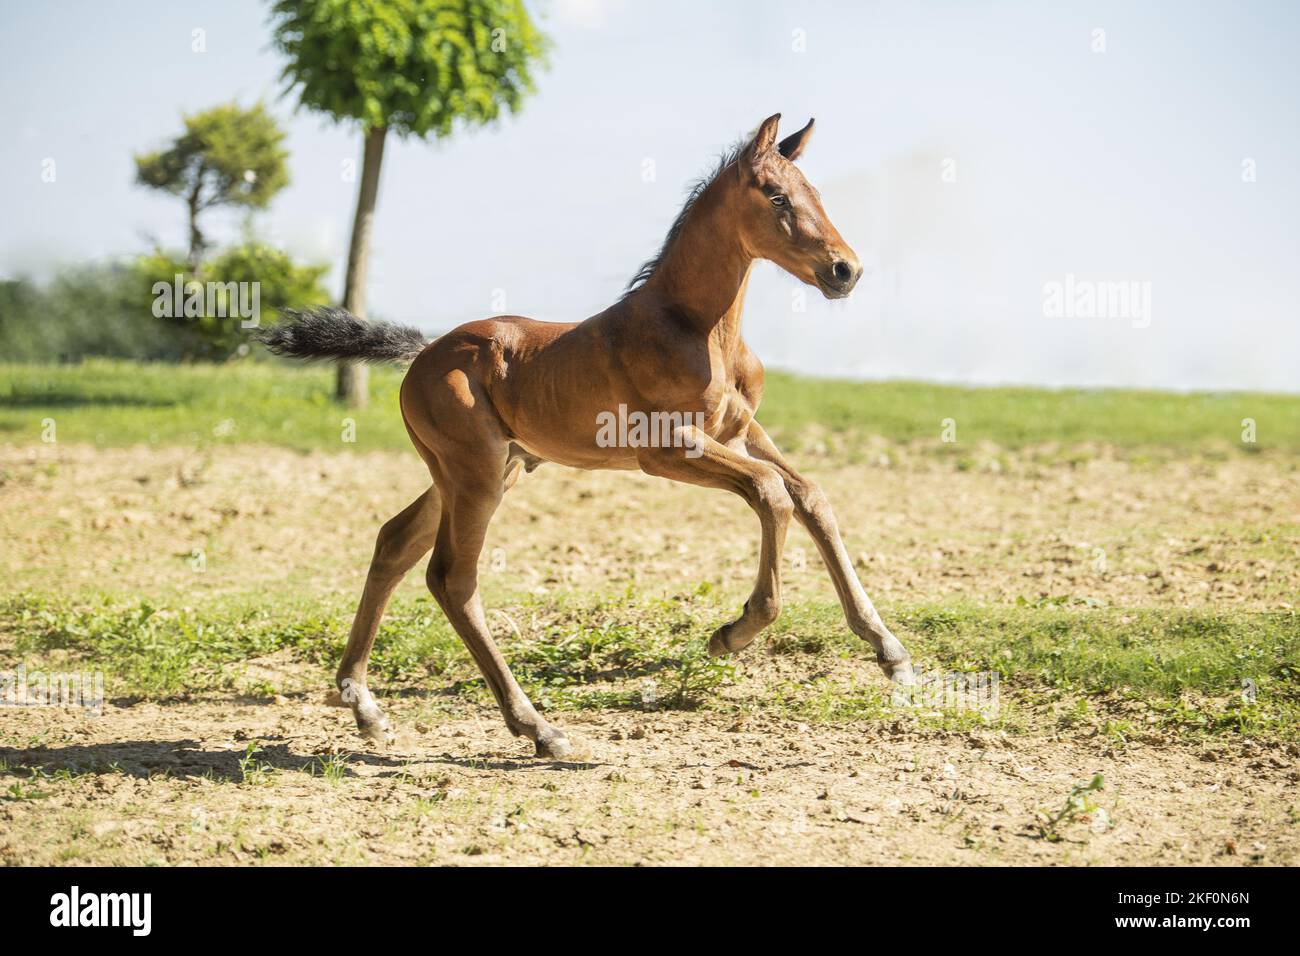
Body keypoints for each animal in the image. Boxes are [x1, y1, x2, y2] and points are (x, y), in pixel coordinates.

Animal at [261, 114, 914, 759]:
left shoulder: (742, 430)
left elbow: (809, 495)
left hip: (488, 469)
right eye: (776, 196)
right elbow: (771, 494)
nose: (845, 270)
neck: (695, 328)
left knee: (395, 543)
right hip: (474, 473)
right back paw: (537, 728)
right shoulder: (667, 449)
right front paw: (734, 632)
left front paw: (889, 651)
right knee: (452, 577)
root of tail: (422, 354)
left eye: (815, 193)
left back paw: (363, 705)